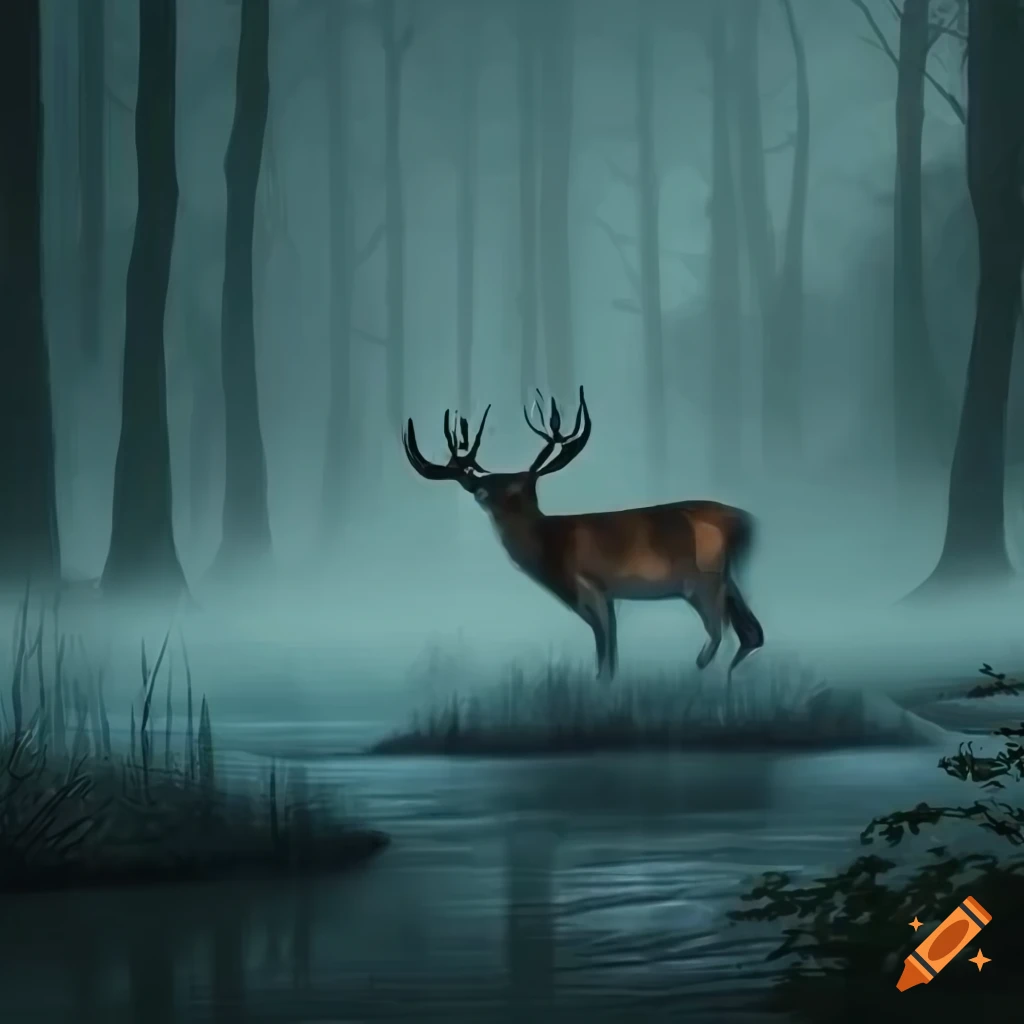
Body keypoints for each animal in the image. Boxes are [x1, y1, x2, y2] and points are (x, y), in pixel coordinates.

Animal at [402, 387, 764, 682]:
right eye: (489, 486)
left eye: (520, 487)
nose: (479, 492)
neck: (550, 549)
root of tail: (745, 522)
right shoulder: (603, 597)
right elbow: (610, 658)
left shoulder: (590, 587)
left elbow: (605, 661)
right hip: (725, 579)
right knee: (752, 633)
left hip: (703, 580)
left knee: (721, 633)